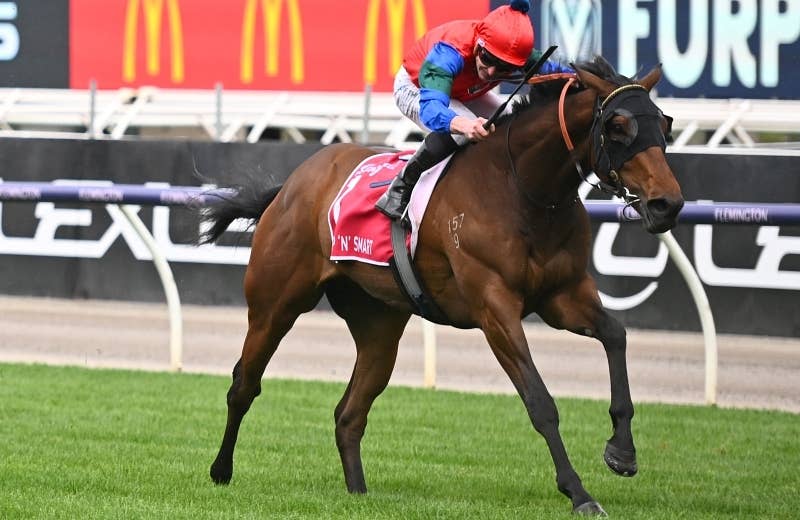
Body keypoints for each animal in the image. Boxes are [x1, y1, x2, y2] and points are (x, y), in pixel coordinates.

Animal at [200, 56, 683, 516]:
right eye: (618, 126)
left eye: (664, 124)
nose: (669, 204)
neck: (521, 188)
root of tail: (291, 184)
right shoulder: (494, 307)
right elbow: (540, 401)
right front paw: (579, 492)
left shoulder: (562, 295)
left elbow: (615, 335)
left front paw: (622, 451)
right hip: (276, 302)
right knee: (244, 384)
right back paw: (221, 470)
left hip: (378, 323)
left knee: (349, 414)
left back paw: (358, 492)